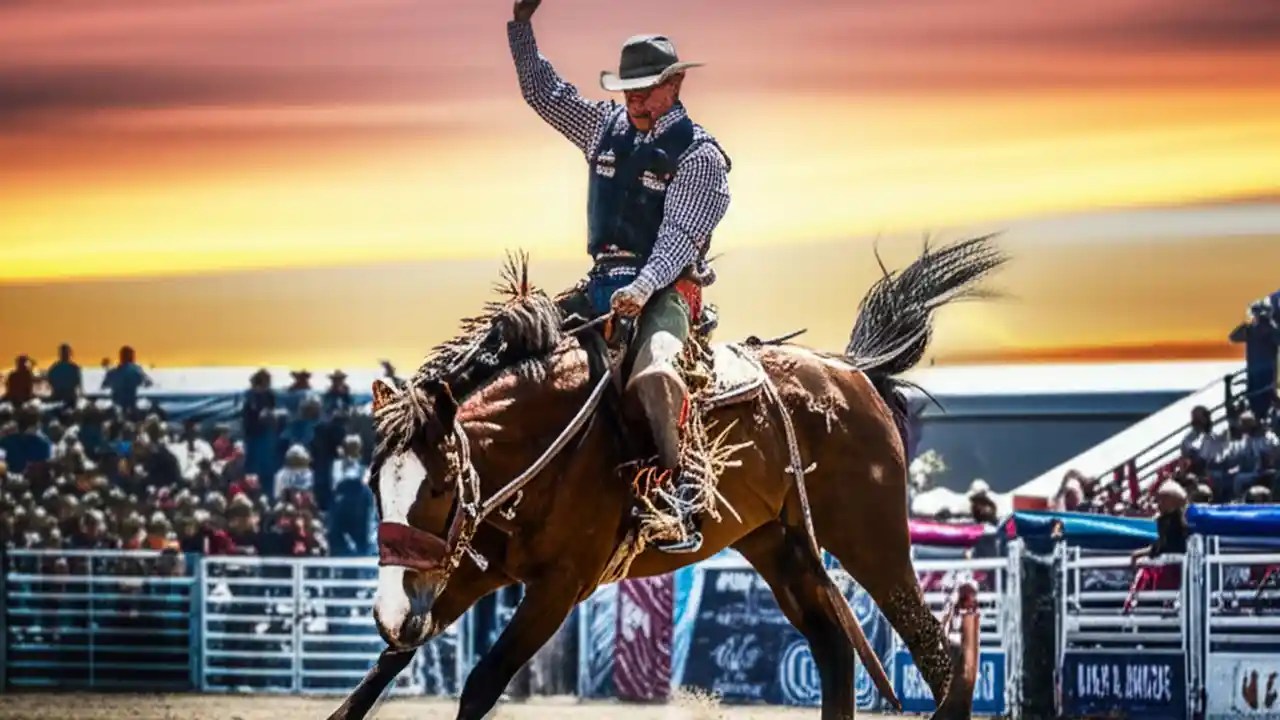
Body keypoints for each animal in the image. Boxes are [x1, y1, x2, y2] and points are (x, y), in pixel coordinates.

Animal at [329, 236, 1006, 720]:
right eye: (374, 486)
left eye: (440, 487)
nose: (388, 611)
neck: (547, 437)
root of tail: (855, 374)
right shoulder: (468, 572)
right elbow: (381, 670)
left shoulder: (558, 587)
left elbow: (481, 684)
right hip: (780, 544)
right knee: (835, 650)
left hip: (872, 540)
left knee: (937, 657)